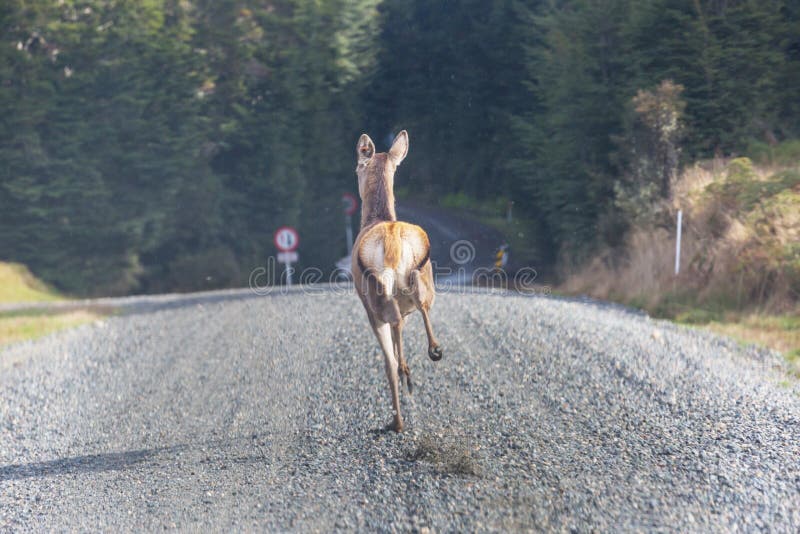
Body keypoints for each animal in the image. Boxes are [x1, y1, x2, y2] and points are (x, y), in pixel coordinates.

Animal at [351, 130, 443, 433]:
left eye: (357, 167)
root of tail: (391, 241)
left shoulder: (367, 308)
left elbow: (387, 357)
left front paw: (395, 418)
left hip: (375, 293)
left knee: (392, 336)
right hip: (422, 272)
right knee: (422, 302)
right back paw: (434, 349)